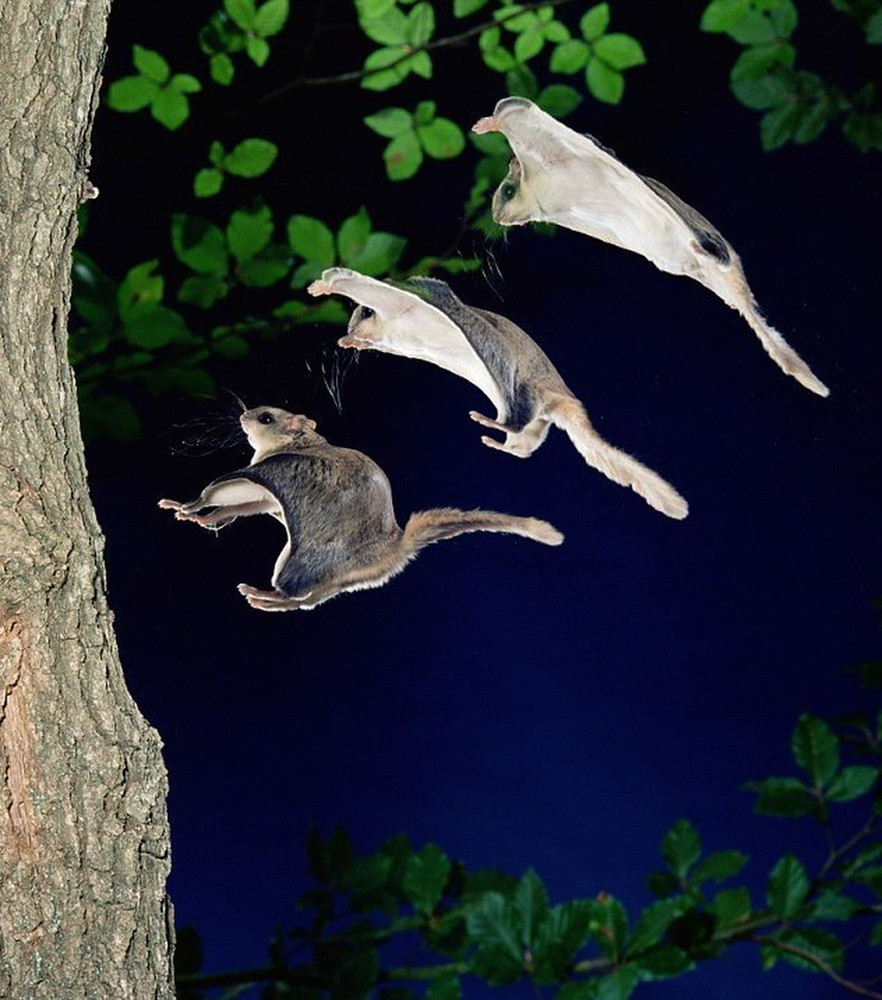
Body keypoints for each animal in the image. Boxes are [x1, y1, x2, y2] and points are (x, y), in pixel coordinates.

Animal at [158, 406, 563, 611]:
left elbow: (219, 491)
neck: (302, 443)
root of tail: (392, 546)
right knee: (309, 602)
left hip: (300, 562)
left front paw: (188, 505)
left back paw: (265, 595)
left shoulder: (268, 471)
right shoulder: (265, 497)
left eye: (266, 417)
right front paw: (198, 516)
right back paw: (265, 600)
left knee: (297, 595)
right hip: (328, 575)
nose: (243, 416)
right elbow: (239, 507)